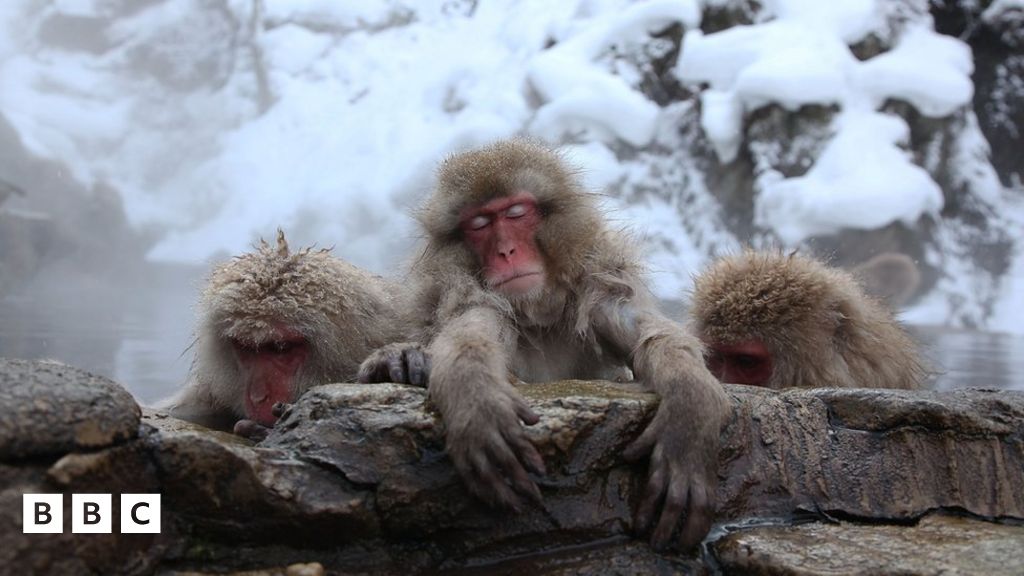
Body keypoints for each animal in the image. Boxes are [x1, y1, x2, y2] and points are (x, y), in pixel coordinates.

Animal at [361, 138, 730, 551]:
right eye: (479, 225)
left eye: (516, 214)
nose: (506, 252)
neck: (538, 317)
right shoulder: (476, 295)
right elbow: (468, 338)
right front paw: (475, 399)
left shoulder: (595, 282)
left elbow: (644, 328)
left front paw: (690, 412)